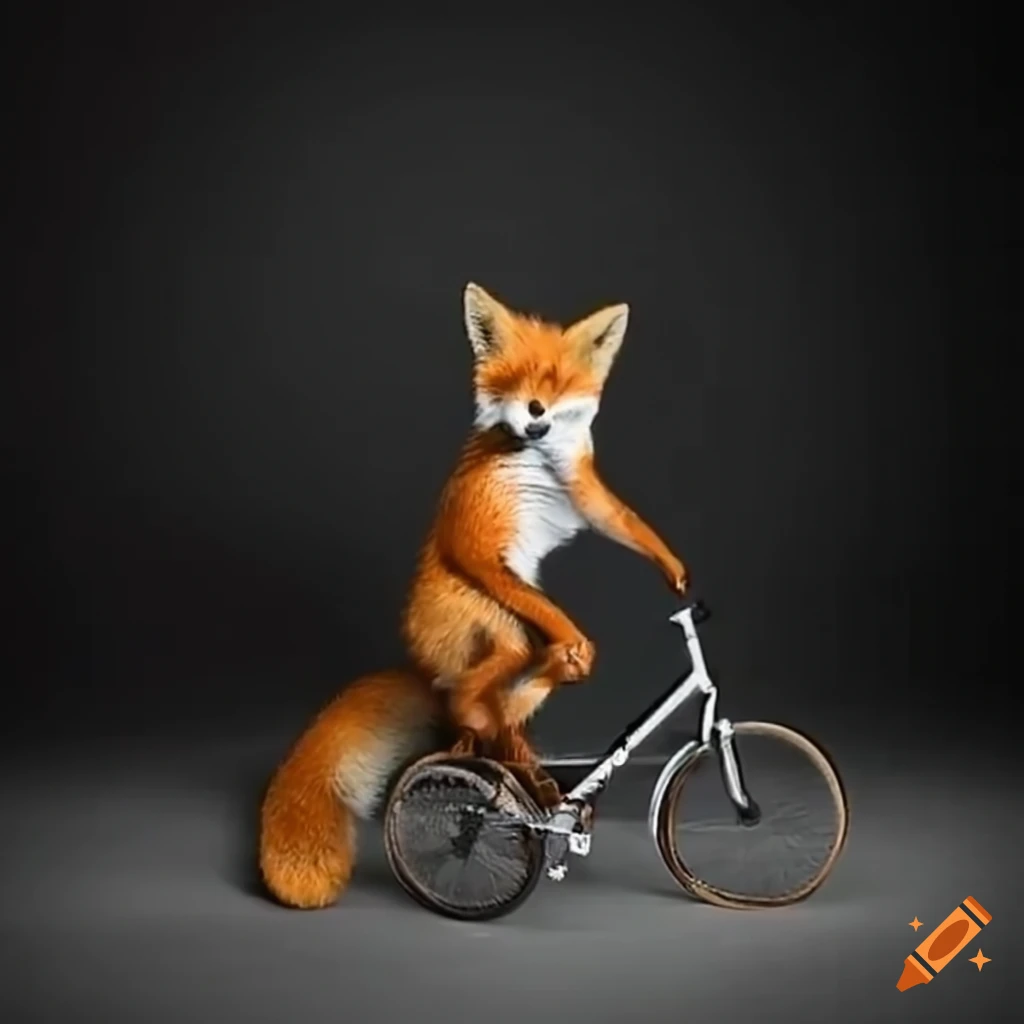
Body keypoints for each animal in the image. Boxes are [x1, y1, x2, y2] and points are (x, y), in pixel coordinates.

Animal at [259, 283, 688, 910]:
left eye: (556, 382)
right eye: (513, 382)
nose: (535, 414)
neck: (538, 463)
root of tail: (423, 668)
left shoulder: (581, 487)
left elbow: (620, 520)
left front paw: (673, 569)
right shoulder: (480, 543)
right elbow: (495, 566)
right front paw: (577, 641)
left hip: (514, 658)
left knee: (506, 713)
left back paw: (526, 762)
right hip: (491, 621)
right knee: (488, 681)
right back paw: (478, 724)